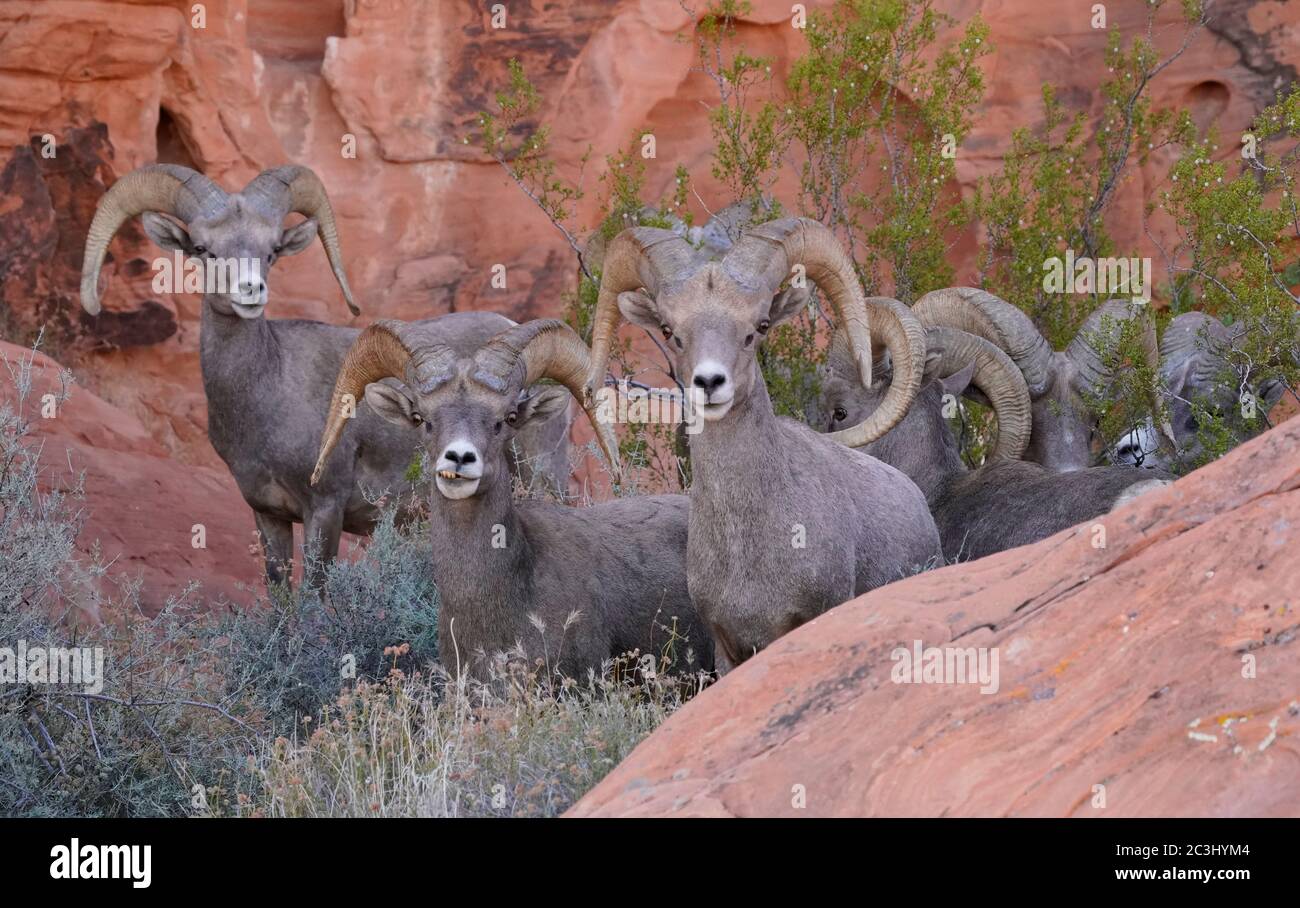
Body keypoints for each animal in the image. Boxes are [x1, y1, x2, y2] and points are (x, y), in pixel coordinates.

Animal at [79, 164, 571, 587]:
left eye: (271, 251)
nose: (251, 291)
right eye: (203, 250)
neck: (266, 395)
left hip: (542, 476)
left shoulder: (325, 508)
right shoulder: (268, 514)